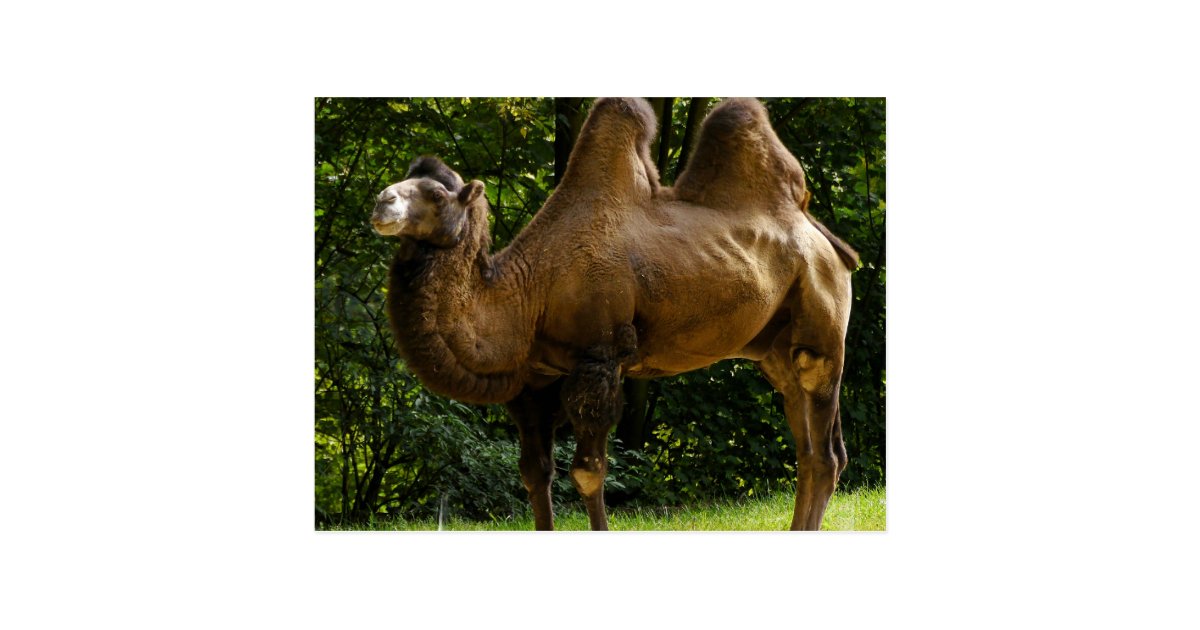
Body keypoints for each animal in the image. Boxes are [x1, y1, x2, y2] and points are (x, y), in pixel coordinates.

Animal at [370, 98, 859, 530]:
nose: (381, 201)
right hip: (775, 350)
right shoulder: (534, 382)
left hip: (820, 318)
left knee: (823, 445)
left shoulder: (598, 358)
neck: (529, 291)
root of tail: (832, 246)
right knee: (810, 441)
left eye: (436, 193)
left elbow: (588, 472)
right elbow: (534, 474)